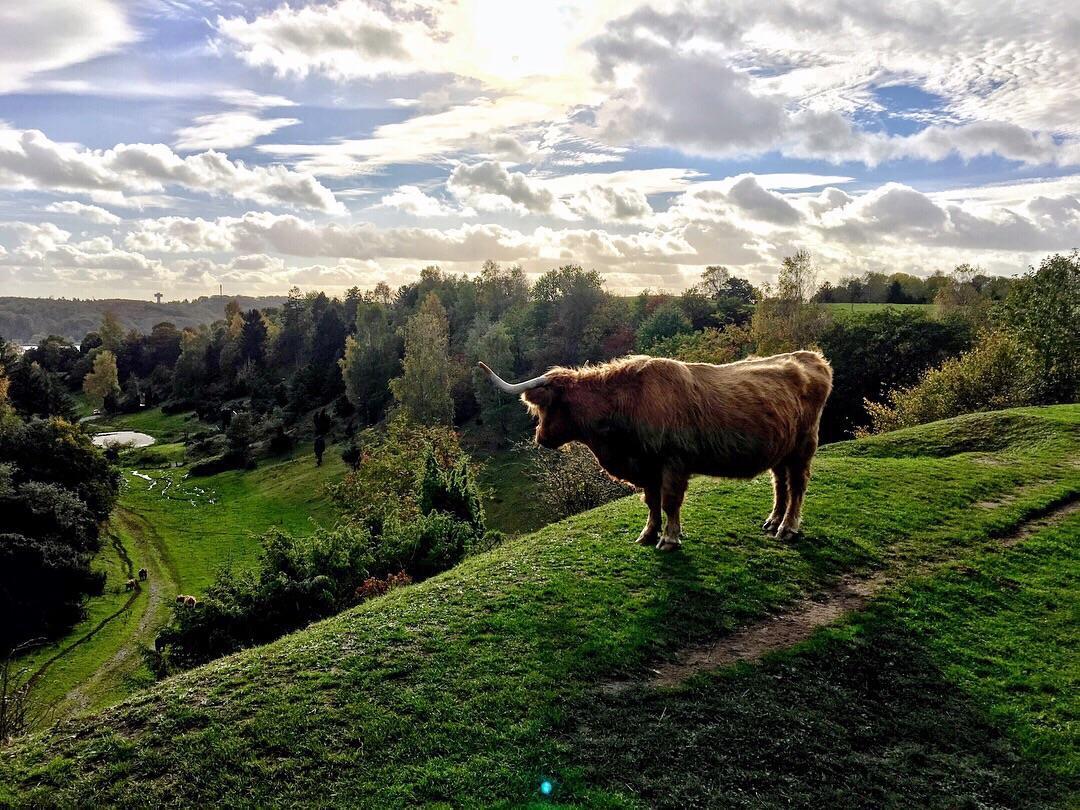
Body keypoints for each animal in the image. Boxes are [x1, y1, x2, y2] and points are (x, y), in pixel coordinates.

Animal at [478, 351, 832, 551]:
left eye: (543, 408)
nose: (540, 438)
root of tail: (812, 357)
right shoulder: (645, 467)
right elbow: (651, 501)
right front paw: (648, 534)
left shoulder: (673, 462)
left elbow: (670, 501)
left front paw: (670, 539)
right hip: (780, 448)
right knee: (780, 484)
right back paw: (773, 521)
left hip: (803, 446)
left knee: (797, 485)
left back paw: (788, 528)